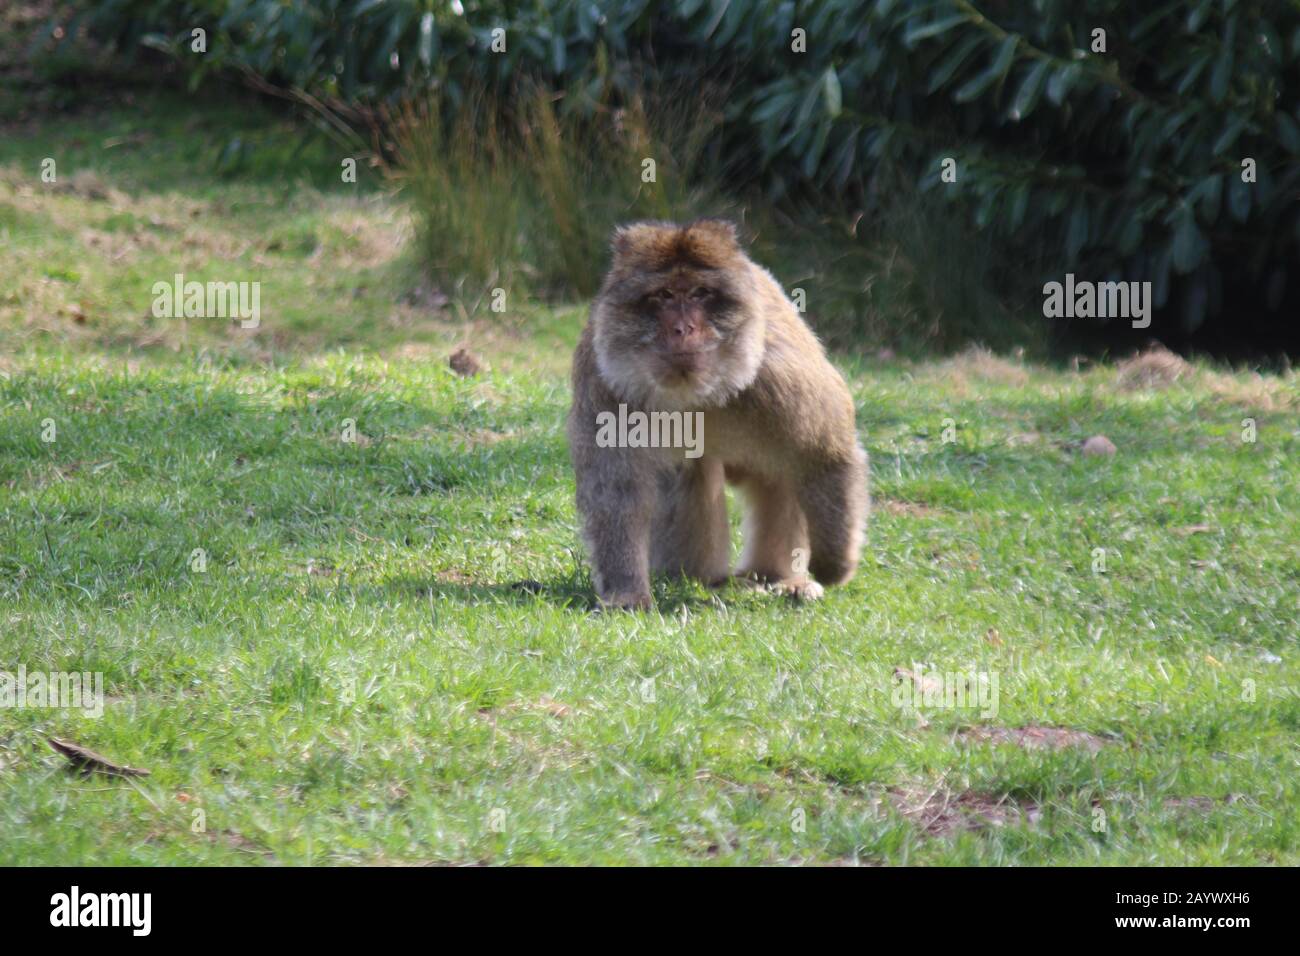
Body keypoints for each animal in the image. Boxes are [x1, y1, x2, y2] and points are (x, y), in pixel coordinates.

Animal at [567, 218, 869, 610]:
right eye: (664, 295)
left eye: (699, 293)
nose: (683, 329)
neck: (698, 391)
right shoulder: (603, 381)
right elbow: (618, 491)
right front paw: (626, 592)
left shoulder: (778, 375)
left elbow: (825, 452)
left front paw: (834, 565)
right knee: (692, 469)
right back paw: (700, 577)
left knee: (787, 472)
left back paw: (778, 578)